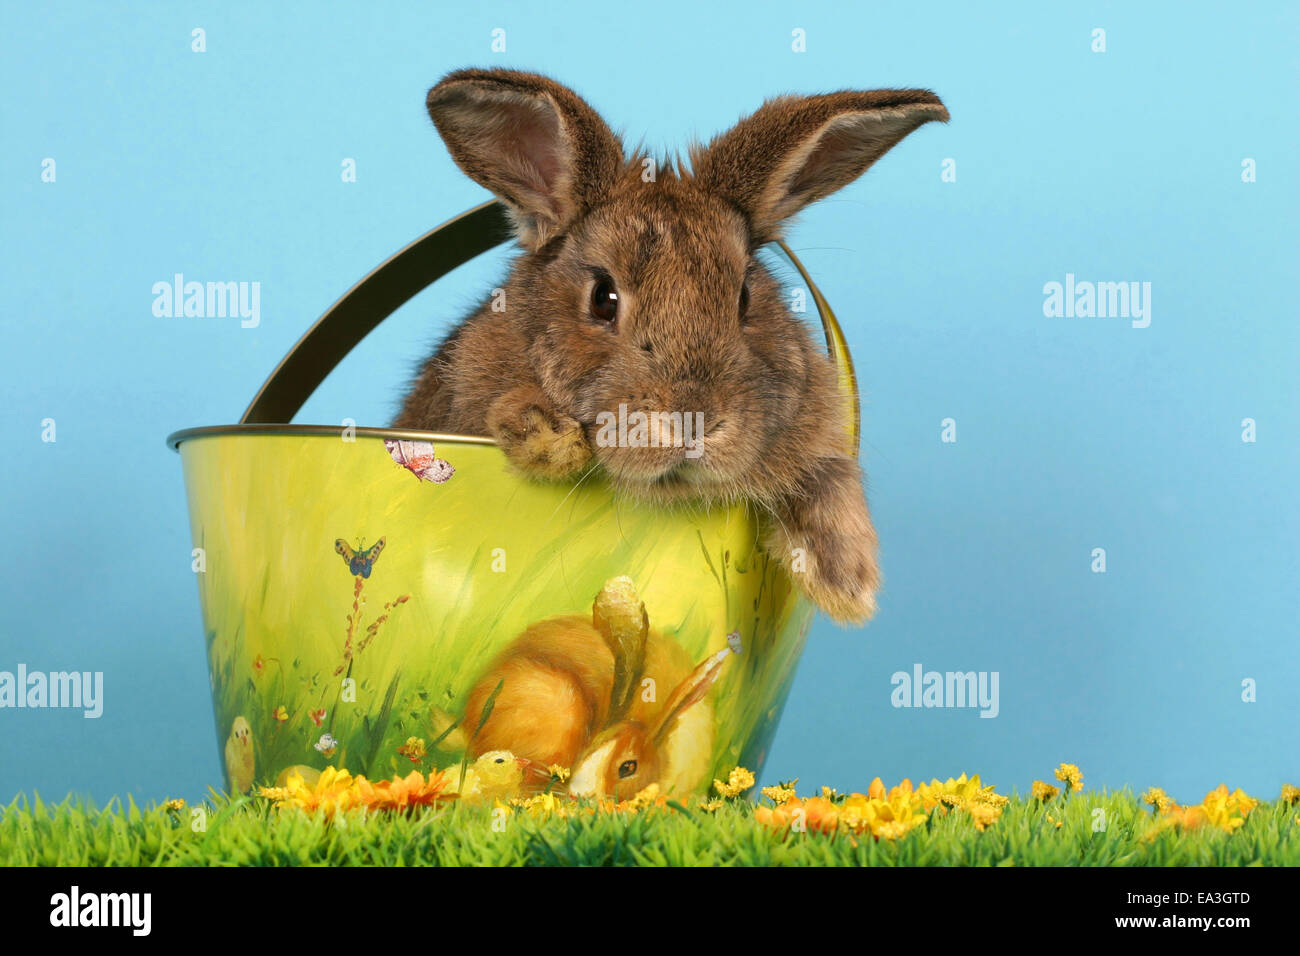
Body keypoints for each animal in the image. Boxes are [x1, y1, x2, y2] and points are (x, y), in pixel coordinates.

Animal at [395, 68, 949, 625]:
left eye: (744, 297)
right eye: (602, 297)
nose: (693, 423)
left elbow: (828, 473)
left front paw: (846, 580)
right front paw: (549, 436)